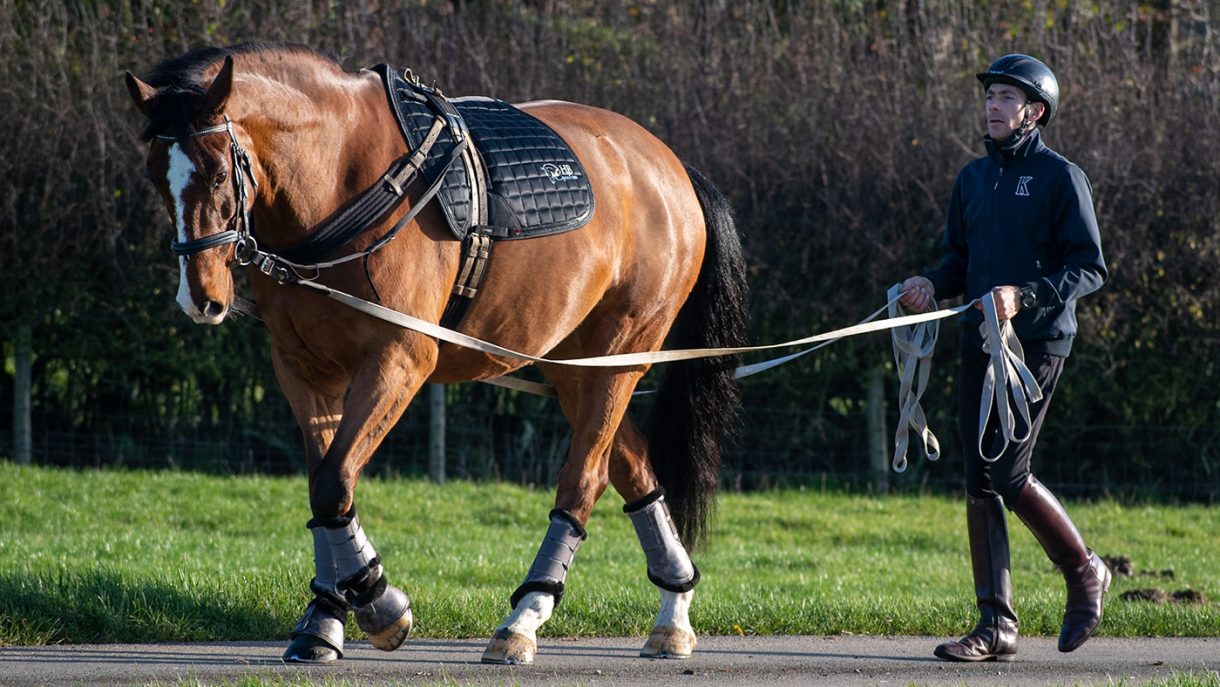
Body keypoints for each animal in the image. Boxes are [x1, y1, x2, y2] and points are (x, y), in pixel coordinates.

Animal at [125, 42, 747, 666]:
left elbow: (334, 482)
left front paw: (378, 602)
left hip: (618, 358)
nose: (199, 298)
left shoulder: (399, 358)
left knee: (583, 481)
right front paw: (325, 616)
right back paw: (672, 614)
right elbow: (325, 485)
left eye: (215, 171)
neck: (342, 179)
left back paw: (525, 616)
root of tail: (670, 168)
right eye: (154, 175)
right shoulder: (302, 368)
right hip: (575, 367)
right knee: (635, 470)